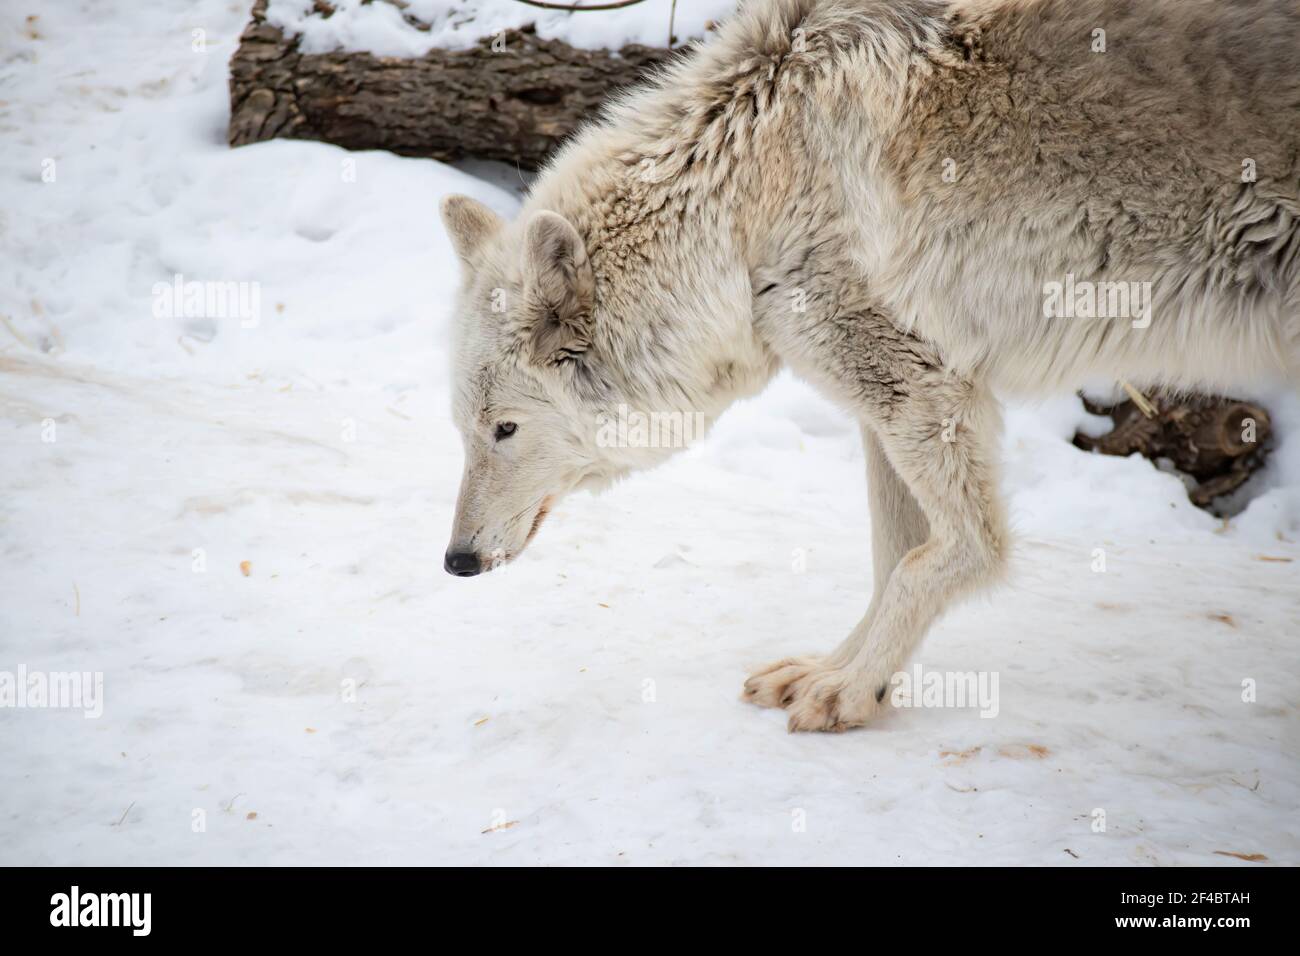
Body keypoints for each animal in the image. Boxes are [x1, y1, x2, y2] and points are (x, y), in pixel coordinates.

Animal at [440, 0, 1300, 731]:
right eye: (464, 430)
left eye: (505, 429)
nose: (455, 562)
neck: (747, 202)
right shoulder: (887, 409)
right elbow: (892, 558)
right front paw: (848, 674)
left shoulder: (925, 392)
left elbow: (953, 555)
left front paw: (849, 689)